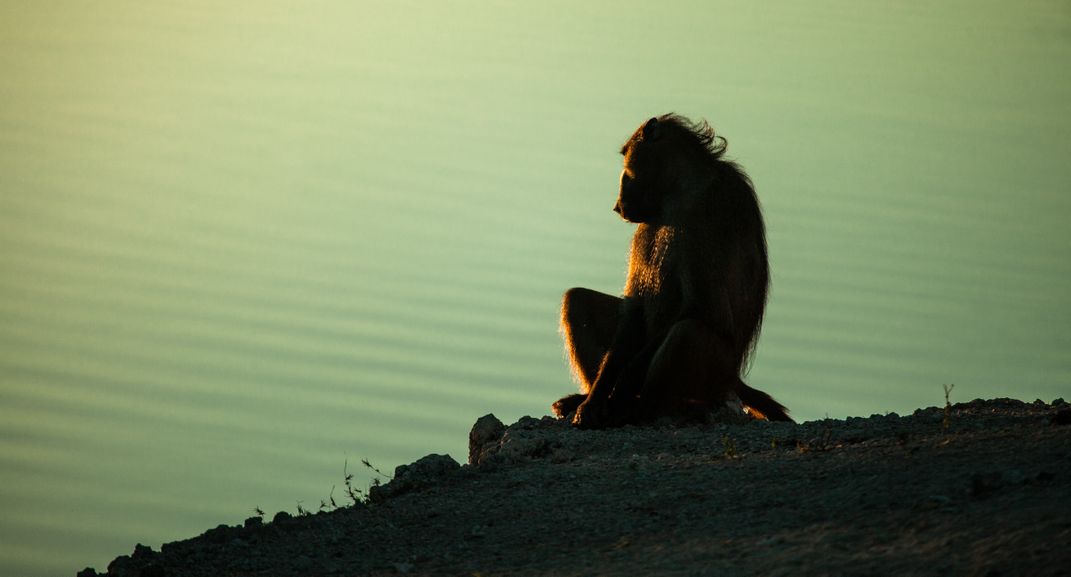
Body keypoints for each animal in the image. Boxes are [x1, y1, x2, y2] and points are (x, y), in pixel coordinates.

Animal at [552, 114, 791, 428]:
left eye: (626, 169)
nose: (617, 206)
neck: (680, 187)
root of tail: (734, 380)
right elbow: (634, 306)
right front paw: (596, 398)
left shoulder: (705, 213)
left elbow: (703, 309)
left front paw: (621, 385)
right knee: (577, 299)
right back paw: (588, 399)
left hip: (714, 377)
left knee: (688, 330)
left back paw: (635, 409)